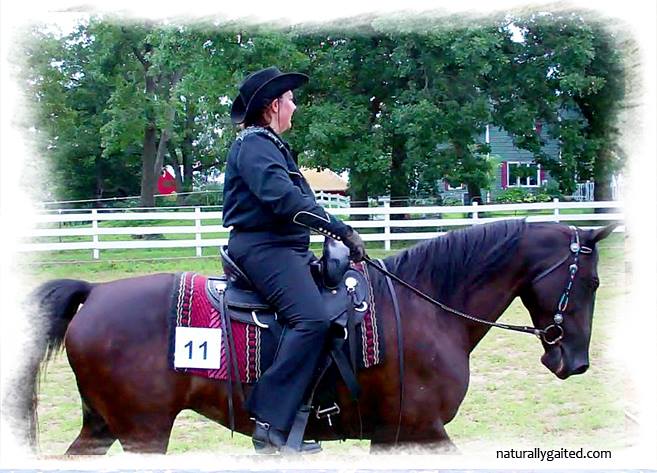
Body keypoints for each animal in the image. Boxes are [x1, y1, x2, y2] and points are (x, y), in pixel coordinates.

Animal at [18, 219, 616, 454]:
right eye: (590, 281)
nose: (575, 362)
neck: (424, 308)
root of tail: (94, 292)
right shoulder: (423, 430)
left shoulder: (392, 436)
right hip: (144, 433)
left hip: (103, 425)